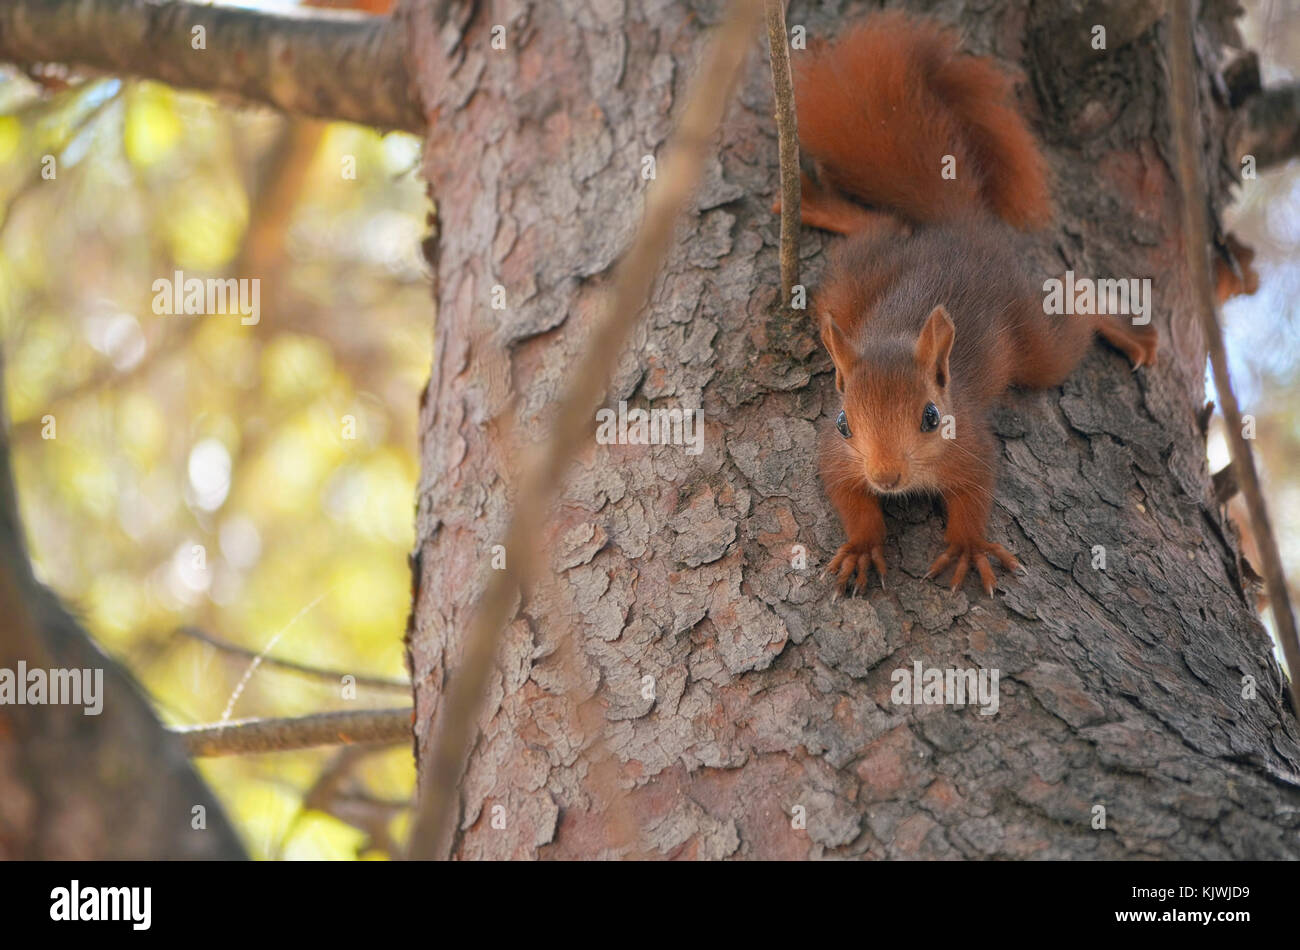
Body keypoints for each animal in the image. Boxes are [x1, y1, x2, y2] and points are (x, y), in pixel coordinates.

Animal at [781, 12, 1159, 597]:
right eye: (844, 423)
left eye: (931, 417)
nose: (886, 478)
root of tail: (961, 228)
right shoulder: (835, 456)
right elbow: (849, 498)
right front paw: (863, 546)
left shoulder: (972, 445)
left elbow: (975, 495)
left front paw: (966, 546)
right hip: (854, 280)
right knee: (878, 224)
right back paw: (820, 204)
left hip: (1031, 336)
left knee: (1069, 318)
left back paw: (1124, 328)